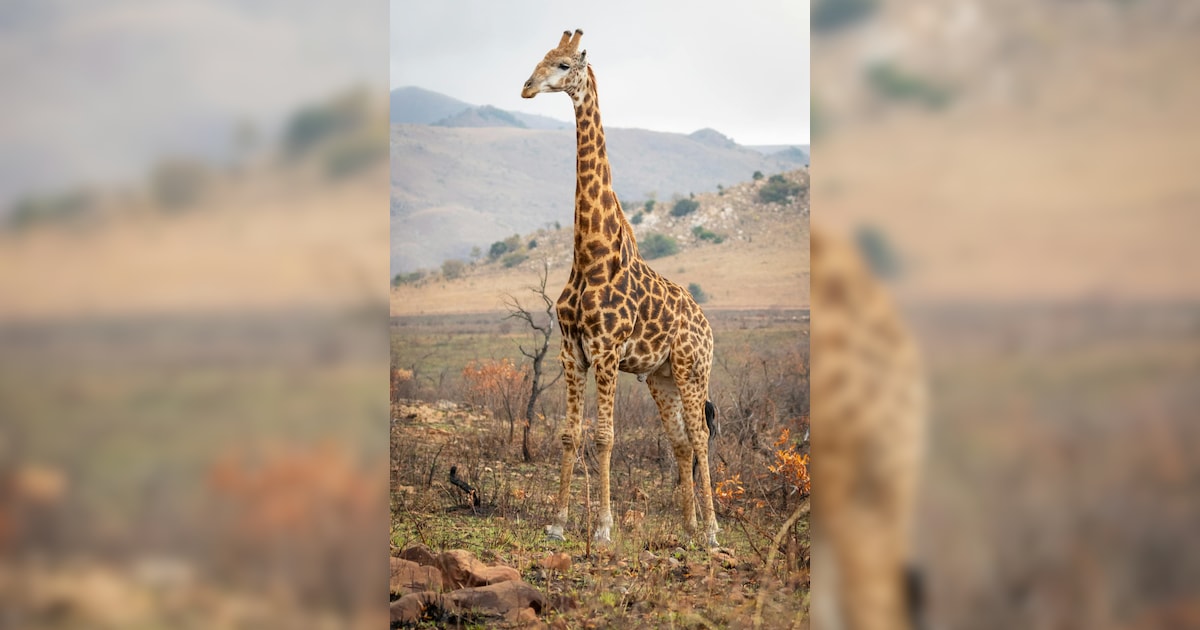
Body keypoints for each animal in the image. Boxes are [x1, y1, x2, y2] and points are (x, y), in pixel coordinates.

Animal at [521, 29, 720, 547]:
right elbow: (570, 435)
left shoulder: (607, 350)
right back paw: (689, 525)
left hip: (693, 369)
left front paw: (604, 528)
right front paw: (557, 523)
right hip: (661, 377)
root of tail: (708, 325)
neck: (590, 255)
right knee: (680, 442)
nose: (527, 87)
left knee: (699, 437)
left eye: (564, 63)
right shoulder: (571, 351)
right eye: (540, 57)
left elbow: (605, 437)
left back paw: (713, 530)